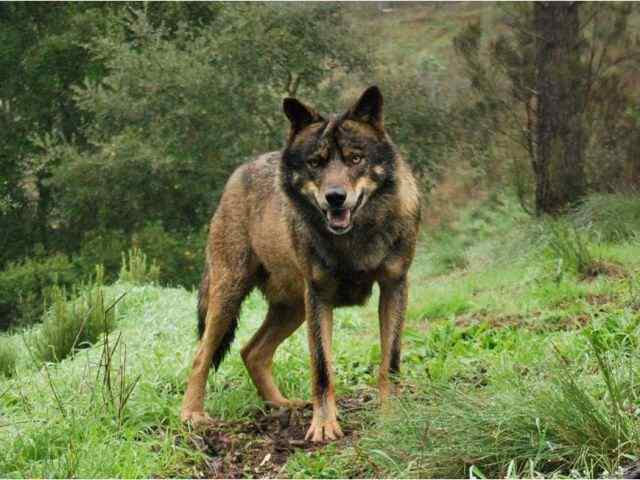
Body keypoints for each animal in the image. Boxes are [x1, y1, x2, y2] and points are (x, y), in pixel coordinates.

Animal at [181, 86, 421, 442]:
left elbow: (389, 364)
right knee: (202, 355)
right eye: (315, 163)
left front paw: (391, 421)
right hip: (230, 297)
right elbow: (321, 368)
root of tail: (239, 172)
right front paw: (323, 426)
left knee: (251, 352)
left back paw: (283, 406)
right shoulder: (319, 295)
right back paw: (192, 415)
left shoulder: (394, 285)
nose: (335, 197)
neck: (354, 240)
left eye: (355, 158)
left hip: (292, 309)